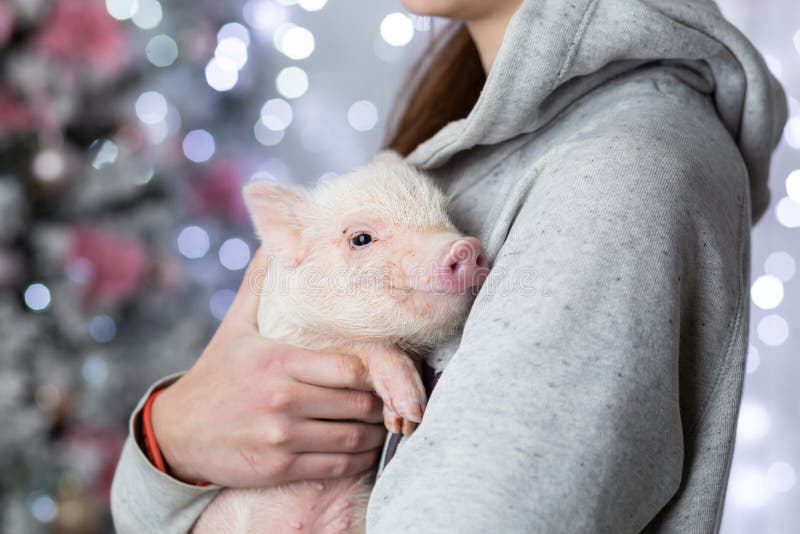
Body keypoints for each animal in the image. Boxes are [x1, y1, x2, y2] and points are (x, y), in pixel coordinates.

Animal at [193, 151, 489, 534]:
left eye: (446, 215)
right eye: (361, 239)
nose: (465, 247)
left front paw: (401, 422)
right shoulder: (288, 332)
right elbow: (366, 345)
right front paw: (409, 412)